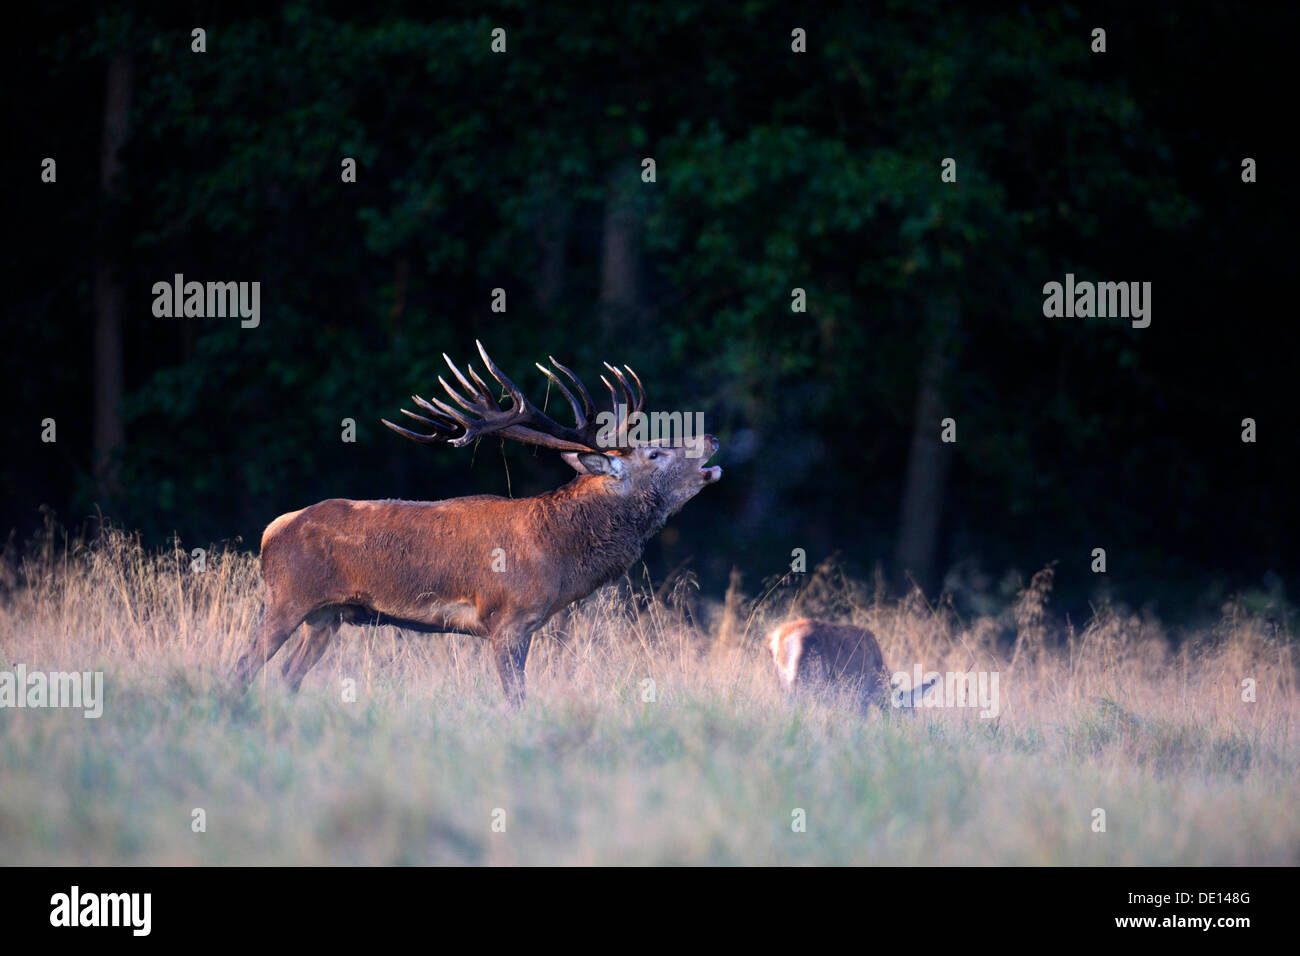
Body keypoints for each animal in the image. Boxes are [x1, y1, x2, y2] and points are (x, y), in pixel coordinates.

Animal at [232, 341, 722, 705]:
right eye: (655, 452)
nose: (712, 437)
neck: (558, 556)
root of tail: (272, 531)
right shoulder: (506, 619)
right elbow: (515, 699)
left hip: (326, 616)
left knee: (288, 676)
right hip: (288, 597)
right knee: (242, 666)